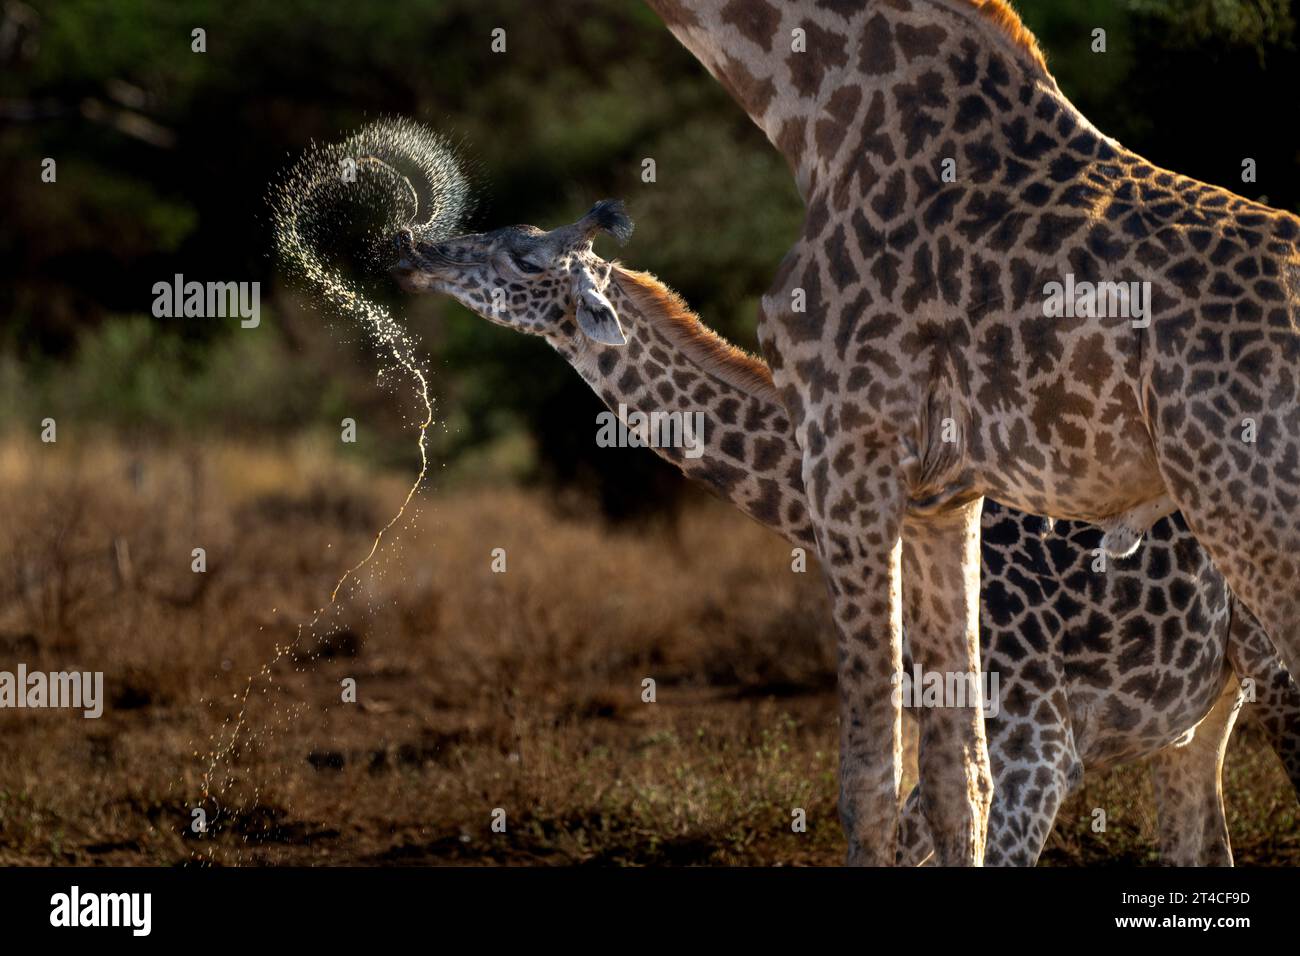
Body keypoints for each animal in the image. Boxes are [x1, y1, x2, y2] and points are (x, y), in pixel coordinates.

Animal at [640, 0, 1300, 863]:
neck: (817, 112)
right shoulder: (943, 496)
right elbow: (960, 779)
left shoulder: (846, 439)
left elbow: (870, 782)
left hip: (1253, 514)